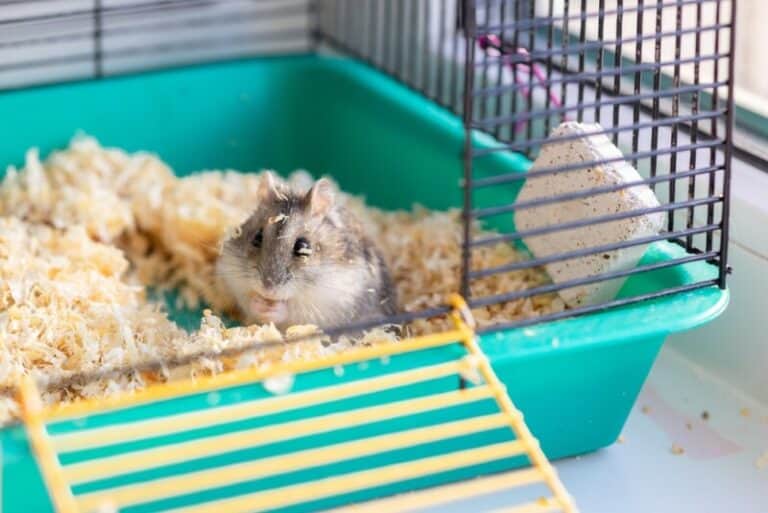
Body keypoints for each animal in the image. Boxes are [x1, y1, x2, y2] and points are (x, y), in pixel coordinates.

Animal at [216, 171, 398, 331]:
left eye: (302, 246)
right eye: (257, 237)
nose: (268, 289)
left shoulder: (329, 303)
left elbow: (292, 311)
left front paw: (273, 308)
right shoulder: (236, 281)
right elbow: (249, 300)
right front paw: (260, 303)